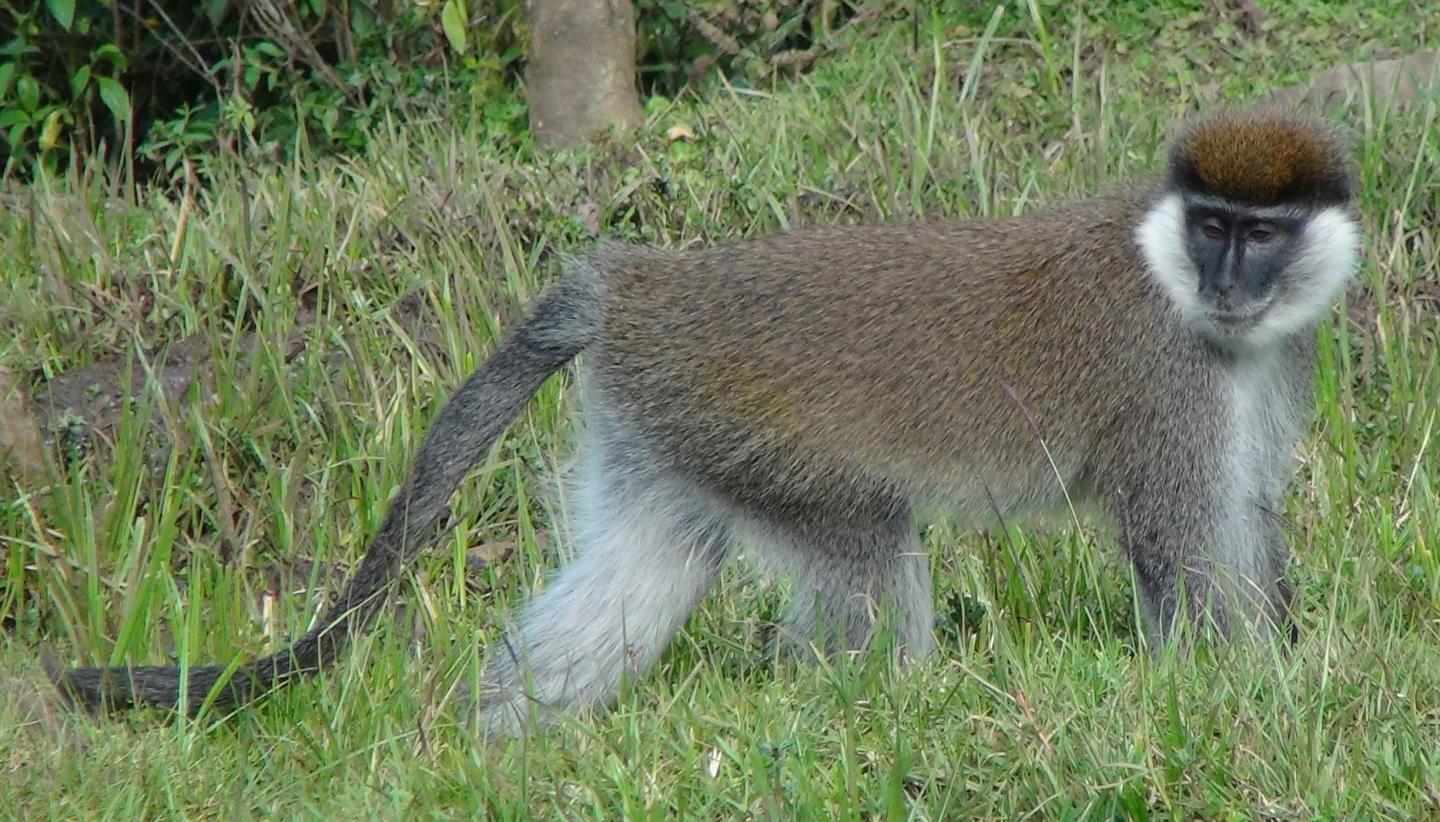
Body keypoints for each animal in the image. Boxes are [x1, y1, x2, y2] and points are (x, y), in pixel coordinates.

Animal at [53, 106, 1360, 736]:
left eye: (1263, 233)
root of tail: (643, 283)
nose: (1232, 281)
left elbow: (1245, 524)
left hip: (669, 428)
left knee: (647, 570)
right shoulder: (1163, 381)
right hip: (746, 426)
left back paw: (494, 742)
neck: (1175, 282)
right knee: (868, 568)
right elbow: (1185, 555)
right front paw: (1243, 694)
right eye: (1215, 227)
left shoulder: (1260, 362)